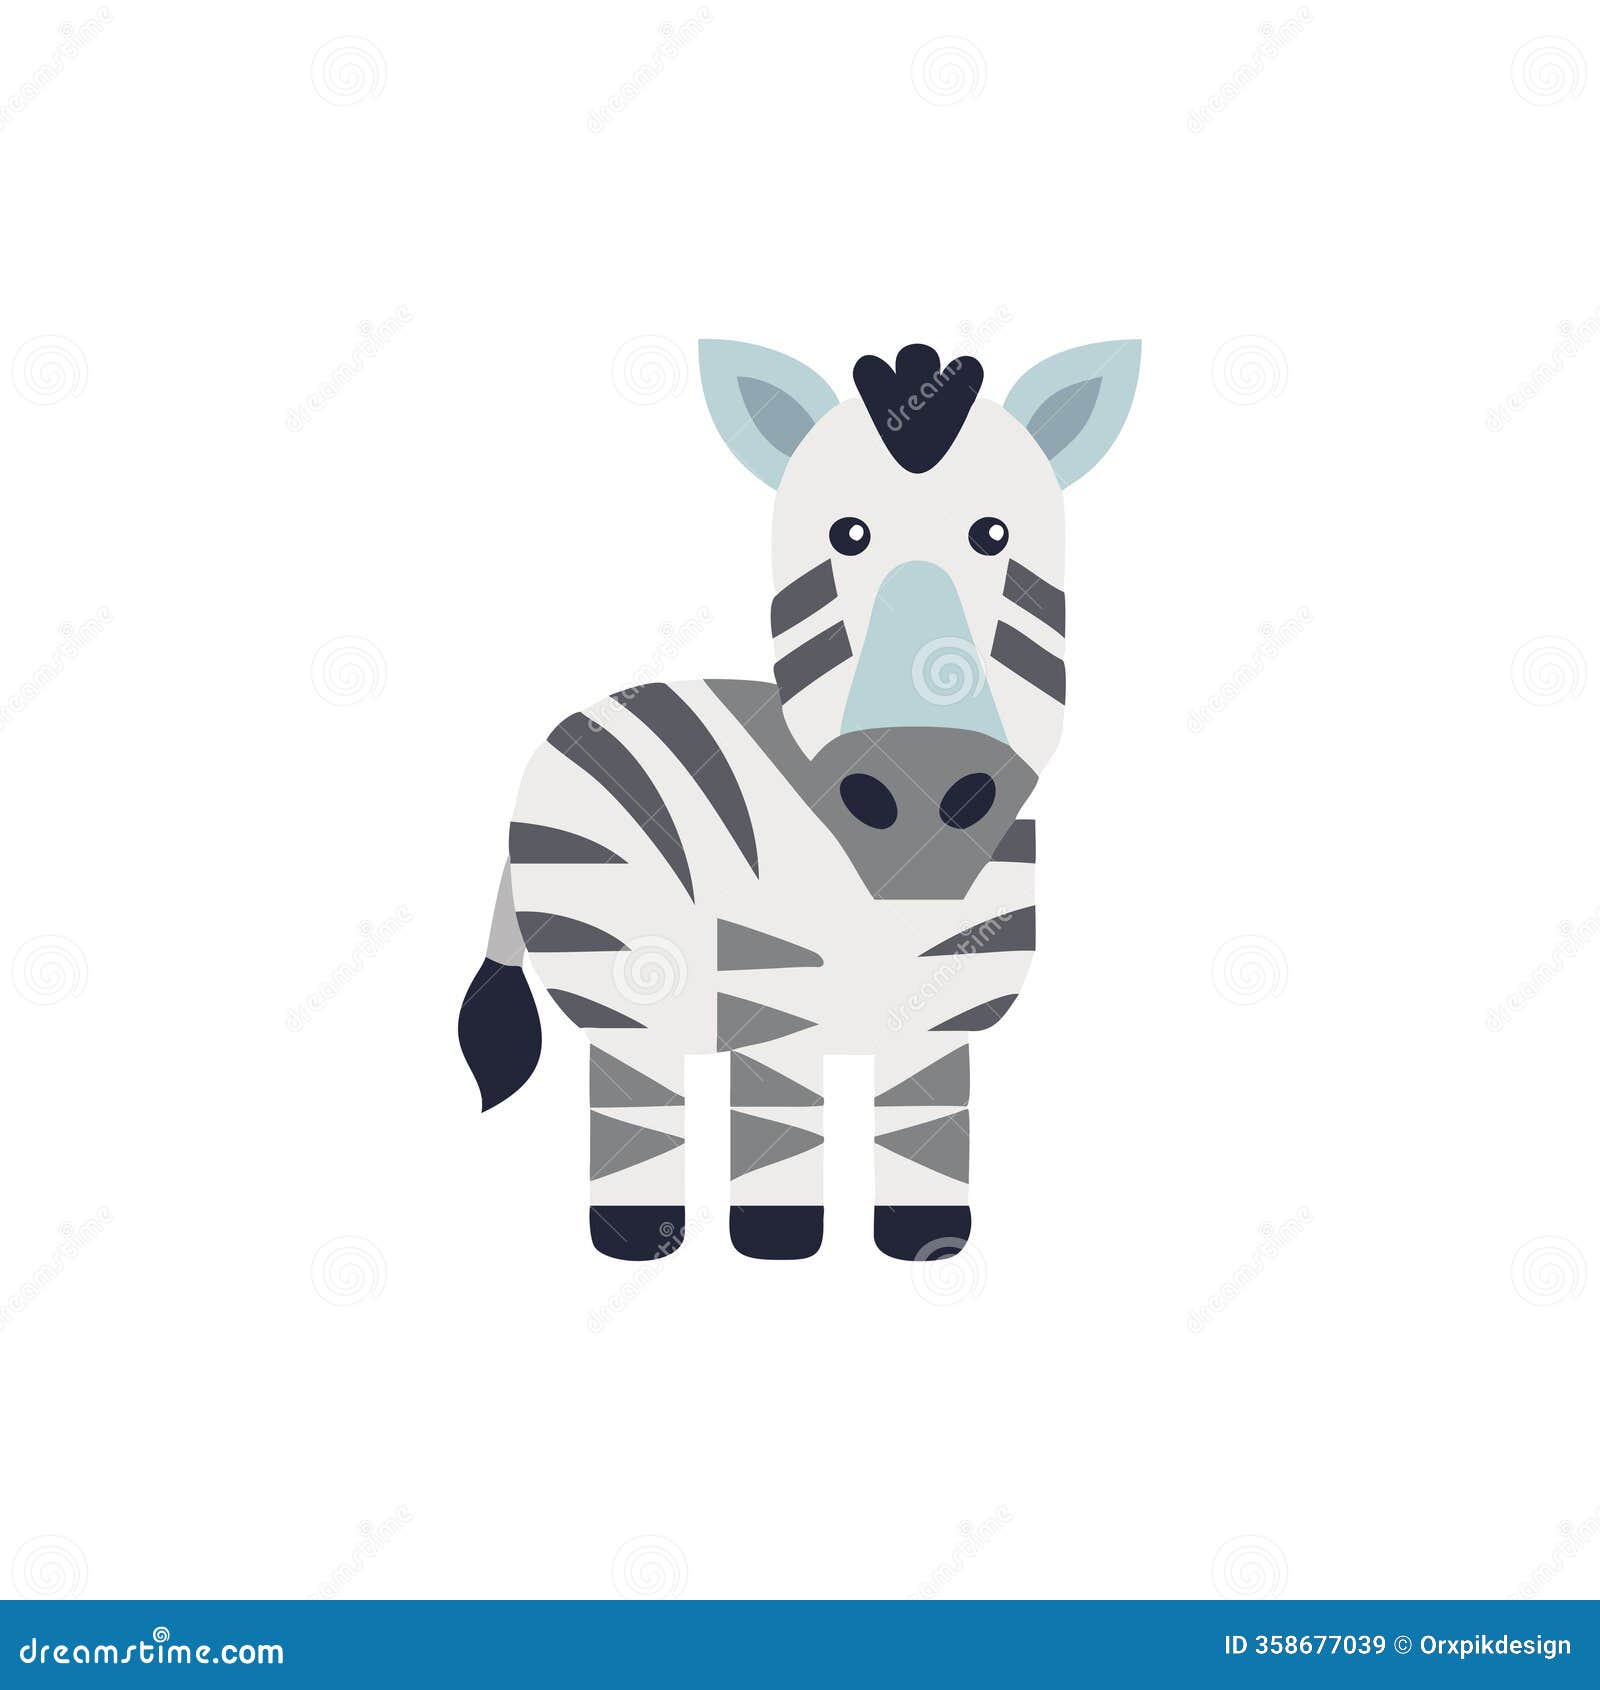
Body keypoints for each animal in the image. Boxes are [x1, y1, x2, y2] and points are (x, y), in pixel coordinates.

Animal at [458, 337, 1140, 1263]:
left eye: (993, 534)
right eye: (845, 535)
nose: (924, 789)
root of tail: (574, 721)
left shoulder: (940, 1015)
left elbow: (924, 1134)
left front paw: (926, 1244)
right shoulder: (773, 1001)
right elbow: (778, 1129)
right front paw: (778, 1242)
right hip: (615, 958)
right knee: (633, 1091)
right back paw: (638, 1235)